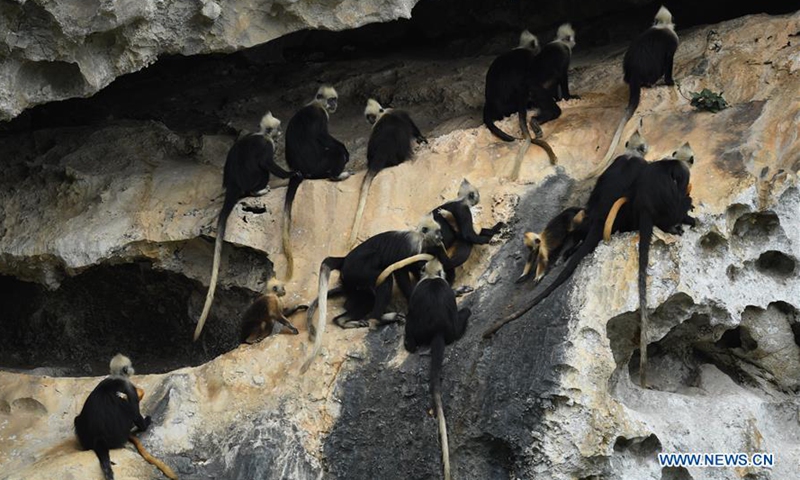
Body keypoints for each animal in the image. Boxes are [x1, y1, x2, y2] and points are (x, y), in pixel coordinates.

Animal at [194, 111, 290, 342]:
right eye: (277, 129)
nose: (281, 132)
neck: (261, 133)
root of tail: (234, 187)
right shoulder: (267, 145)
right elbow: (267, 163)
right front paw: (292, 174)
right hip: (253, 180)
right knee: (263, 170)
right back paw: (258, 191)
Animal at [282, 86, 351, 280]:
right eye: (331, 100)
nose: (334, 104)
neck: (316, 103)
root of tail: (301, 171)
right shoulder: (320, 115)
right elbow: (323, 137)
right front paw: (345, 151)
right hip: (320, 166)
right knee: (335, 153)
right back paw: (336, 175)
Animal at [300, 215, 453, 373]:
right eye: (438, 232)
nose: (441, 237)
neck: (421, 237)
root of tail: (345, 260)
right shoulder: (412, 246)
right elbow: (401, 272)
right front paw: (412, 298)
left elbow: (417, 269)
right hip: (357, 270)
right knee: (384, 278)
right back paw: (379, 318)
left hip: (354, 281)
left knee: (367, 298)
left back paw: (342, 321)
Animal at [348, 98, 427, 247]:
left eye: (371, 117)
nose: (371, 120)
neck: (383, 113)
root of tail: (381, 154)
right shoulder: (399, 113)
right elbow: (412, 127)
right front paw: (421, 138)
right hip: (397, 157)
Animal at [595, 6, 678, 176]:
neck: (662, 26)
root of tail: (634, 73)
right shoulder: (672, 41)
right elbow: (669, 60)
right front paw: (670, 81)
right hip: (653, 73)